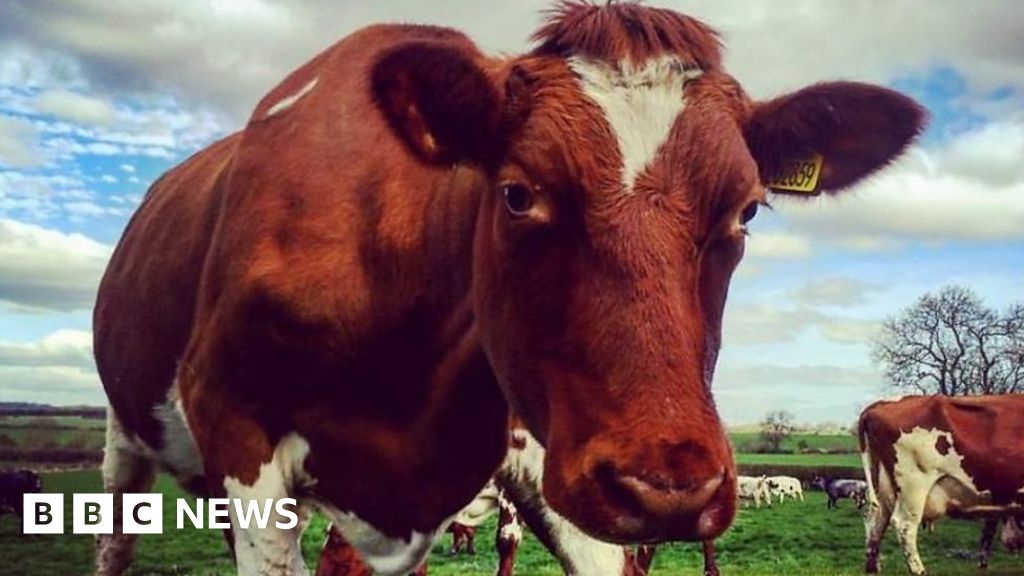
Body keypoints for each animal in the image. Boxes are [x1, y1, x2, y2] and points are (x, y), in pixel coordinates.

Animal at [92, 2, 925, 574]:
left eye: (747, 208)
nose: (666, 490)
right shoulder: (240, 436)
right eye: (518, 193)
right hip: (123, 441)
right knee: (115, 539)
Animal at [859, 395, 1024, 575]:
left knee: (876, 520)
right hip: (913, 486)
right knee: (904, 525)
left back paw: (873, 568)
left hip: (884, 486)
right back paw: (919, 570)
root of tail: (881, 404)